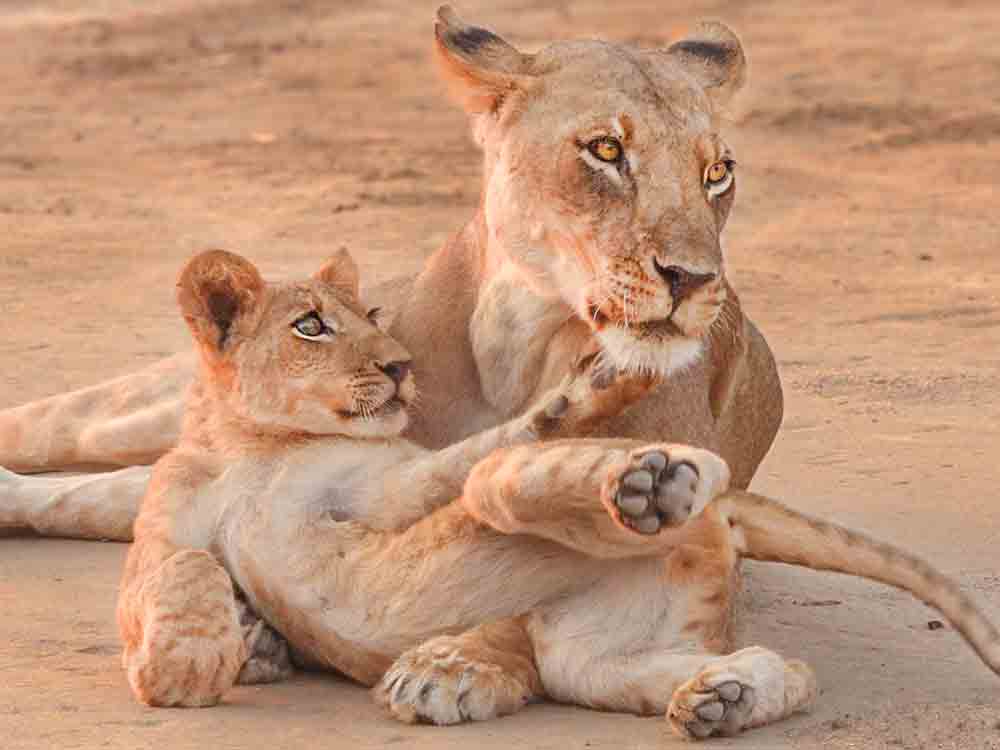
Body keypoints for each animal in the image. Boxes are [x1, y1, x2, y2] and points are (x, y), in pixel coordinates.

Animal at [119, 247, 999, 742]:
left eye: (370, 313)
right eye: (310, 325)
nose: (401, 365)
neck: (261, 446)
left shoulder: (389, 487)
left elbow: (467, 455)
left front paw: (593, 388)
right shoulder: (164, 527)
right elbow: (180, 568)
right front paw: (184, 666)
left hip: (560, 519)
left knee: (509, 480)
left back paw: (652, 480)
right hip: (593, 658)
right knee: (783, 666)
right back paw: (724, 694)